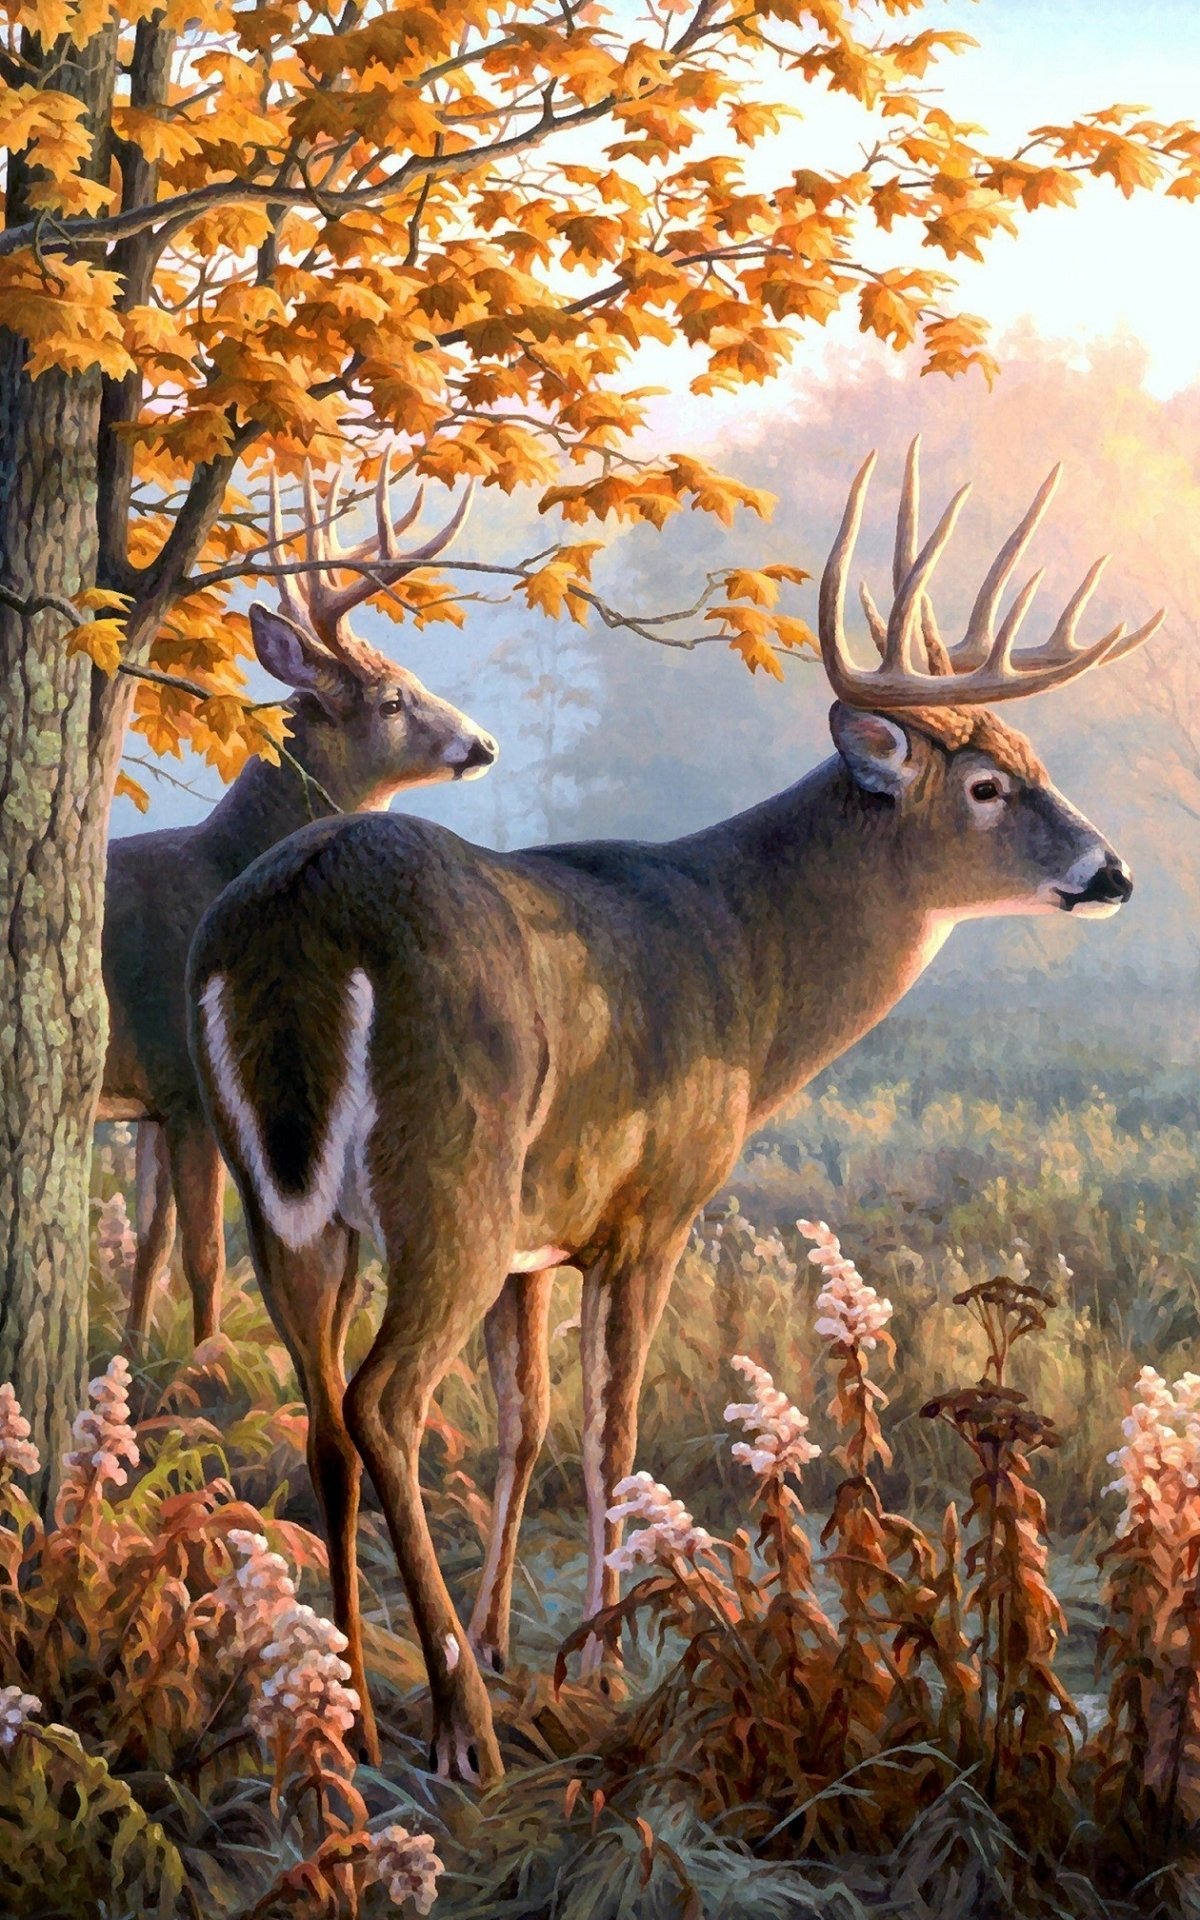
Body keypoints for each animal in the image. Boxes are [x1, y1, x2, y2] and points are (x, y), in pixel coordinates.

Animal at [99, 460, 497, 1349]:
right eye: (391, 700)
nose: (483, 744)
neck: (221, 868)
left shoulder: (150, 1103)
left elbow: (150, 1248)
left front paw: (134, 1359)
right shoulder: (186, 1084)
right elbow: (205, 1253)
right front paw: (204, 1361)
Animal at [186, 441, 1161, 1783]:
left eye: (1039, 761)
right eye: (983, 784)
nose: (1111, 872)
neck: (743, 970)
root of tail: (297, 916)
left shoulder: (541, 1237)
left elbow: (528, 1423)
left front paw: (516, 1646)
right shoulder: (653, 1206)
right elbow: (613, 1428)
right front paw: (596, 1667)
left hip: (287, 1205)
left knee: (328, 1416)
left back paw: (356, 1715)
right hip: (448, 1174)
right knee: (386, 1402)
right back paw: (459, 1730)